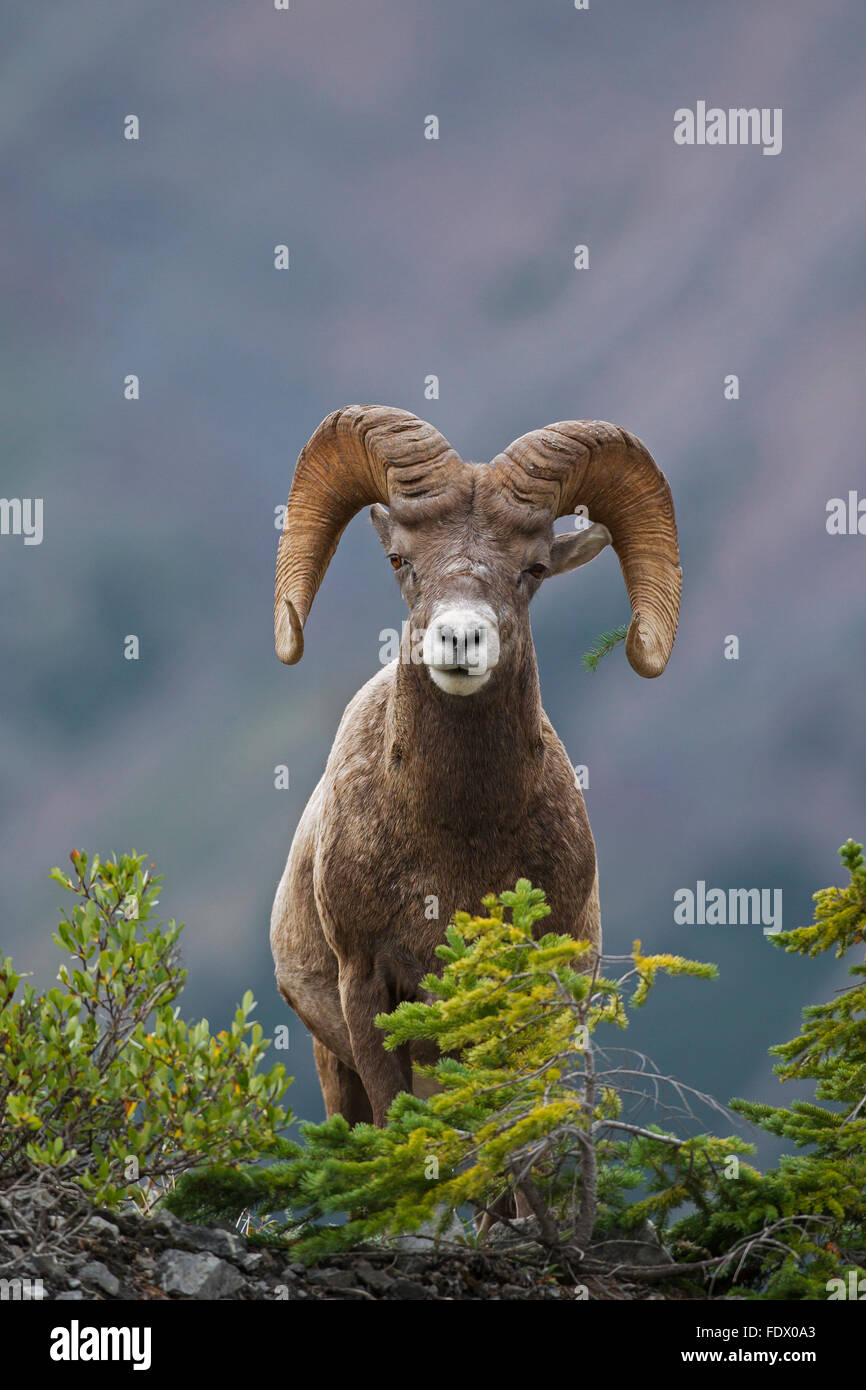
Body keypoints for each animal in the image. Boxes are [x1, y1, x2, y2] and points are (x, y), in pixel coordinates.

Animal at [270, 405, 681, 1127]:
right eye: (401, 559)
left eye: (535, 567)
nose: (459, 638)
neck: (454, 841)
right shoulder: (365, 989)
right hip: (335, 1070)